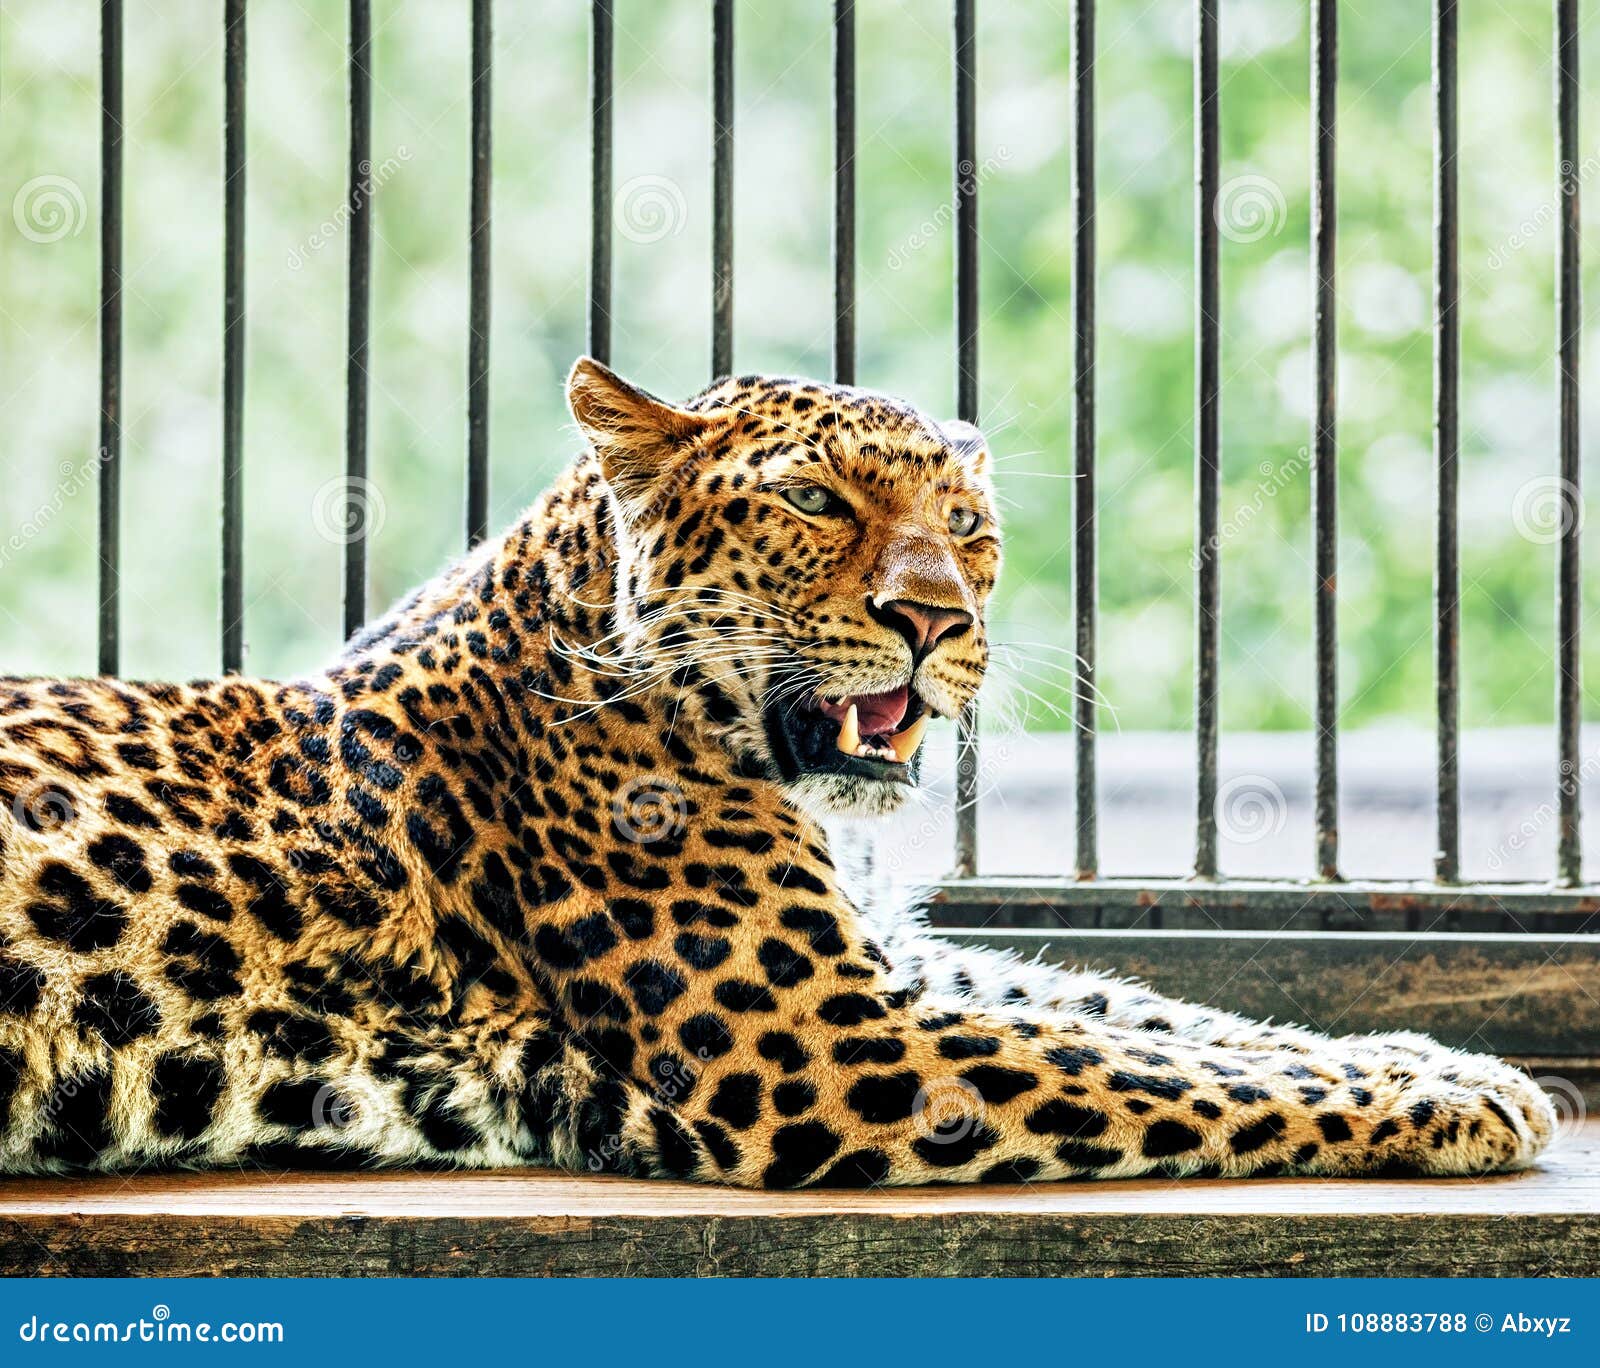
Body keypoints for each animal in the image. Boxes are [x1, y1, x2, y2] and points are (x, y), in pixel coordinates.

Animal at [0, 357, 1556, 1185]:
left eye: (968, 524)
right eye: (813, 500)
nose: (936, 619)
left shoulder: (888, 964)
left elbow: (1152, 1010)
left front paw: (1444, 1058)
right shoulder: (833, 1040)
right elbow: (1145, 1065)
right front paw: (1460, 1104)